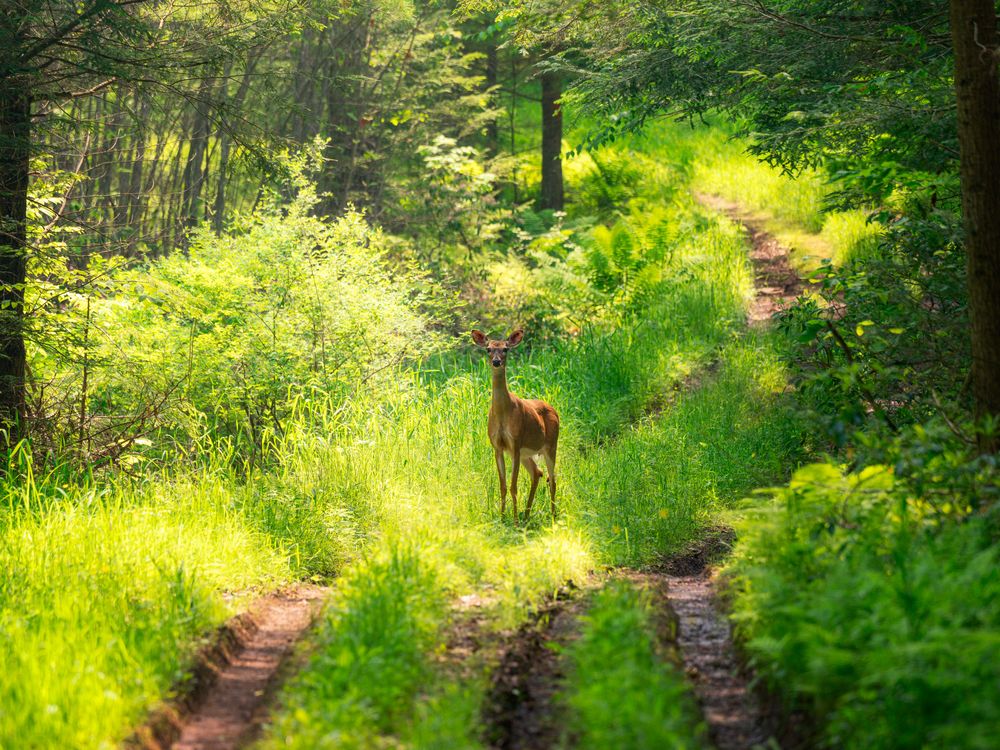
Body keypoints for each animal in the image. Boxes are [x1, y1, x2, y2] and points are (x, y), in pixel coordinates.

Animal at [471, 328, 559, 525]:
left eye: (506, 349)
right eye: (488, 349)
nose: (496, 361)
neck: (503, 413)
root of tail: (554, 409)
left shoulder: (516, 443)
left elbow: (513, 486)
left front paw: (515, 522)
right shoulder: (498, 446)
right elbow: (503, 486)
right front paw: (503, 518)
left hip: (551, 445)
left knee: (552, 479)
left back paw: (552, 517)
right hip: (527, 453)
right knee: (537, 473)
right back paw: (527, 515)